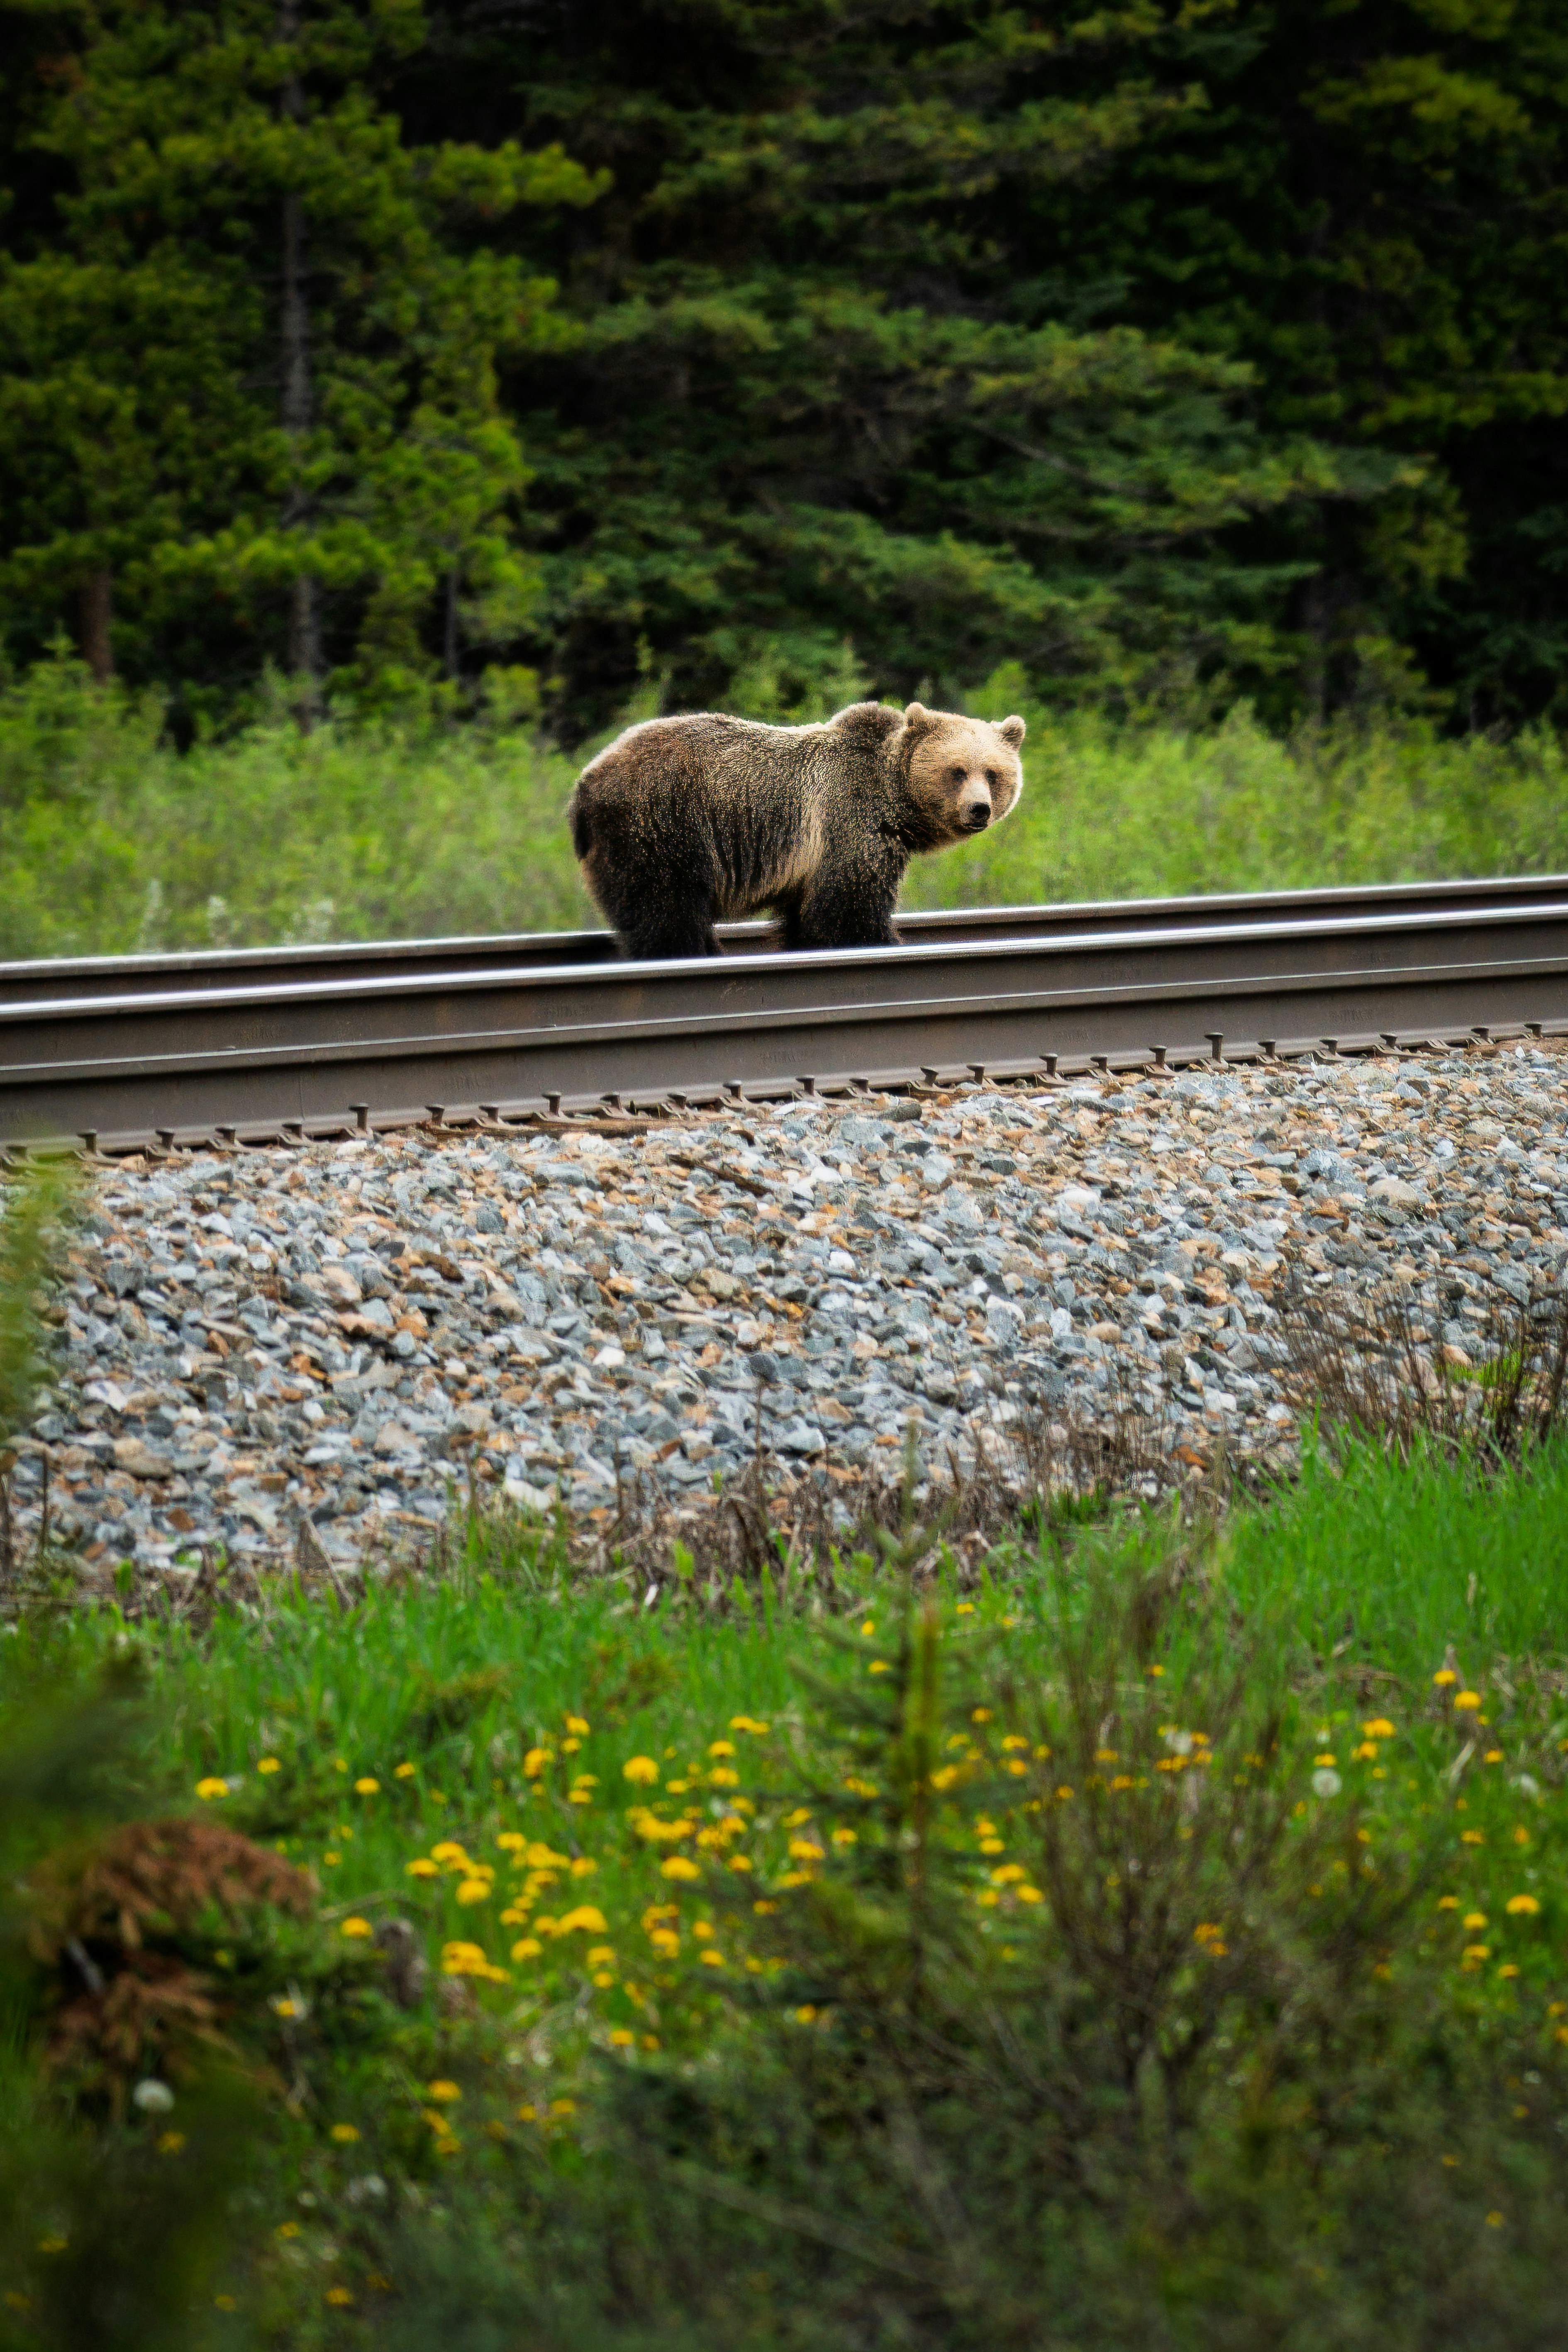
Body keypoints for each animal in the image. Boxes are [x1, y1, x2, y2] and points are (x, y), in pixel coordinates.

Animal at [567, 699, 1025, 961]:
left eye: (993, 773)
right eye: (957, 771)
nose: (978, 809)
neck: (895, 801)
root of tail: (585, 785)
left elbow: (807, 917)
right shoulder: (849, 821)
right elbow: (848, 910)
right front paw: (885, 943)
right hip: (663, 823)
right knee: (665, 907)